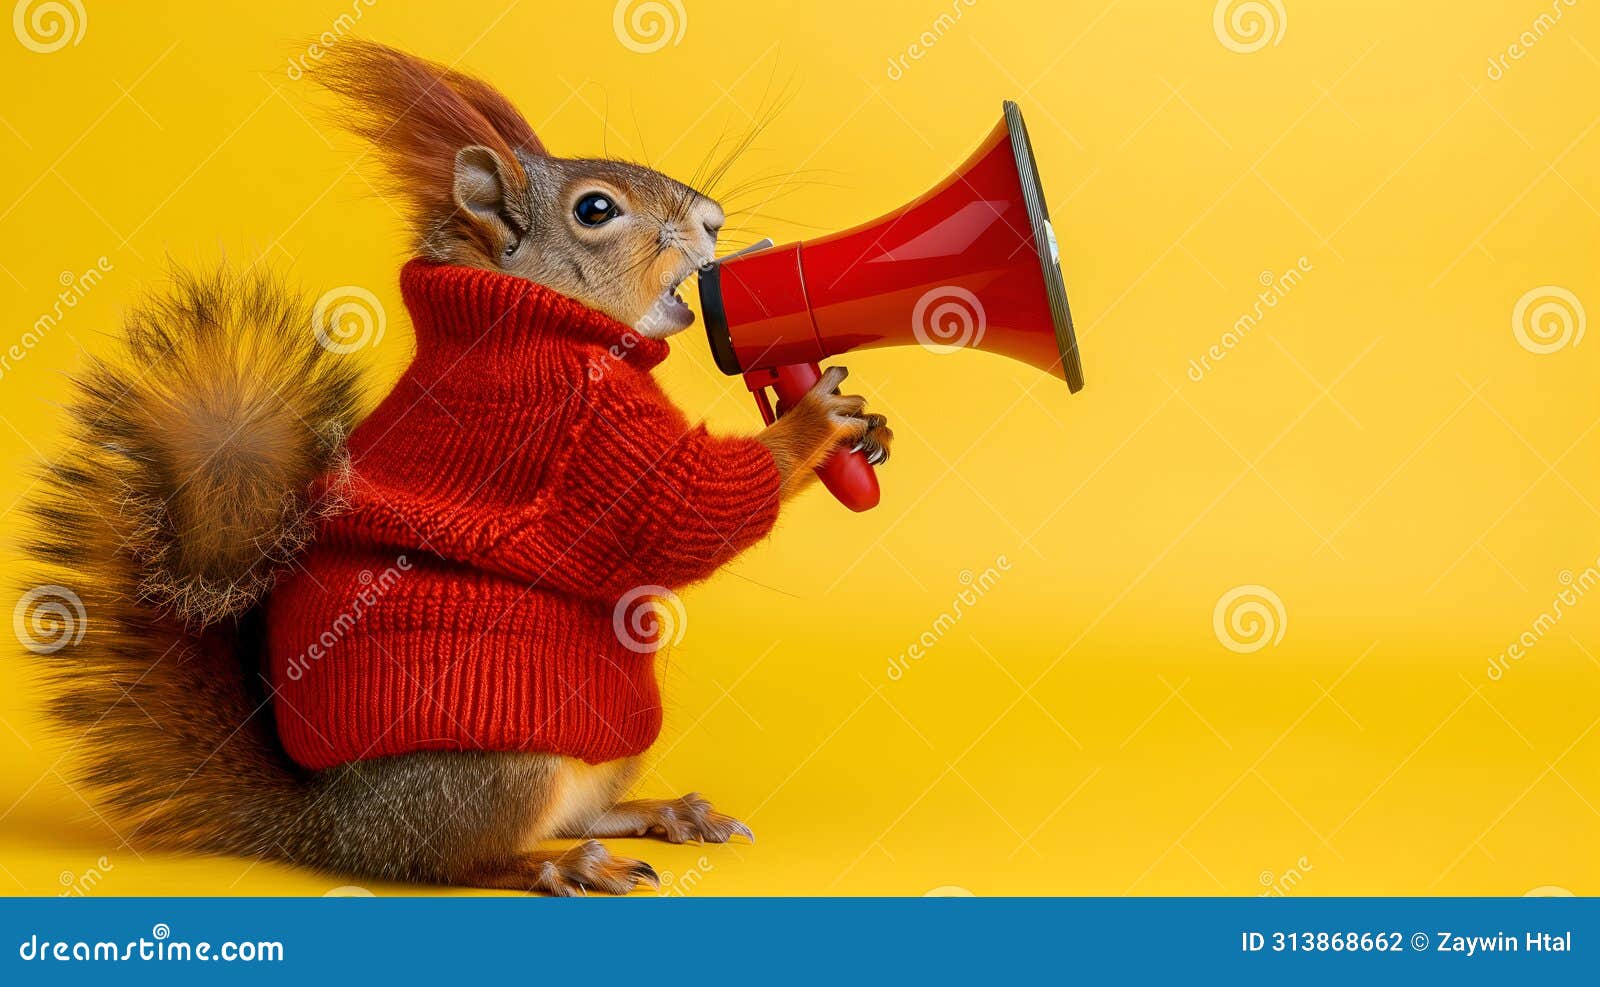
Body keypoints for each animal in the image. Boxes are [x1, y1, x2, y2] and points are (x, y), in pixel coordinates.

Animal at [19, 40, 892, 895]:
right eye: (595, 210)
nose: (712, 220)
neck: (525, 310)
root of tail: (336, 831)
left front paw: (871, 428)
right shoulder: (580, 421)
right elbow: (685, 511)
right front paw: (813, 424)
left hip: (611, 747)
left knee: (576, 812)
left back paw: (664, 813)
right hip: (497, 765)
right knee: (458, 860)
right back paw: (558, 864)